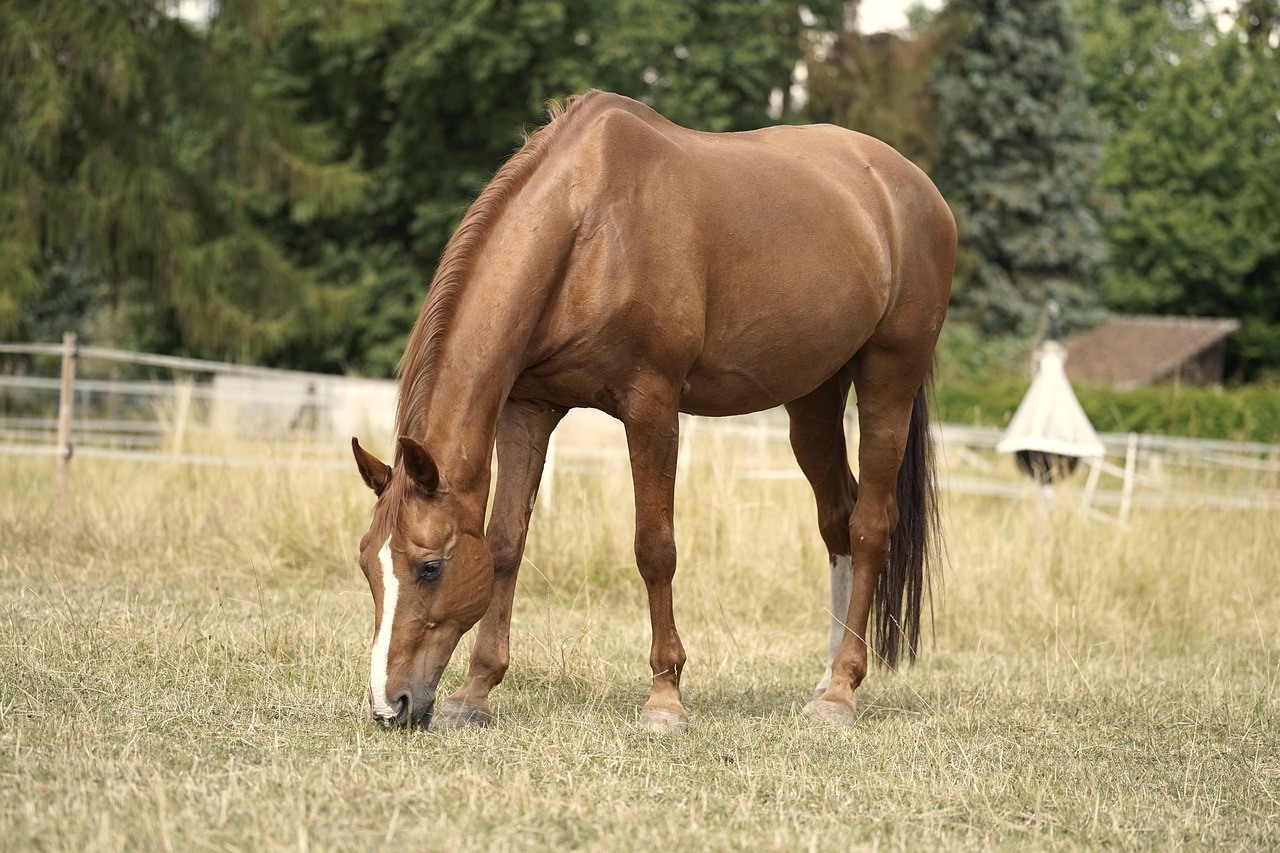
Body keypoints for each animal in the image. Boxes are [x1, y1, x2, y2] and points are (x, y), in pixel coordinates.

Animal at [351, 90, 954, 733]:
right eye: (367, 565)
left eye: (430, 567)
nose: (390, 705)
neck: (590, 229)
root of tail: (911, 186)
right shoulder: (529, 407)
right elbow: (507, 542)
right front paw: (474, 693)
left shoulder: (653, 409)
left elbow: (655, 549)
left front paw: (665, 699)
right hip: (813, 399)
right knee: (837, 519)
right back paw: (824, 679)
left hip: (889, 379)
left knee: (869, 527)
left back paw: (841, 692)